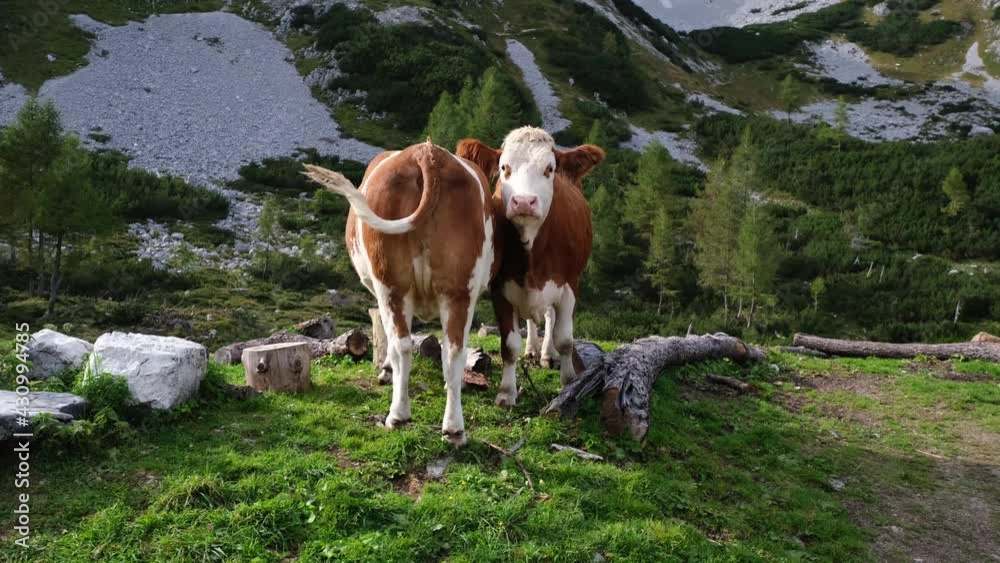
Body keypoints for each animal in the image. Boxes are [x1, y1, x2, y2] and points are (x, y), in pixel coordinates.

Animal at [303, 140, 495, 447]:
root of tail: (426, 152)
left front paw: (386, 371)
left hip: (390, 283)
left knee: (402, 344)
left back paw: (398, 416)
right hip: (459, 289)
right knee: (454, 350)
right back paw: (454, 428)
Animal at [457, 126, 605, 407]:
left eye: (549, 168)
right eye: (504, 167)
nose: (524, 202)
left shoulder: (570, 285)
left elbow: (565, 339)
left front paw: (569, 383)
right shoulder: (500, 288)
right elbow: (509, 345)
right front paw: (507, 392)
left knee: (549, 317)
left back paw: (546, 353)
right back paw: (533, 350)